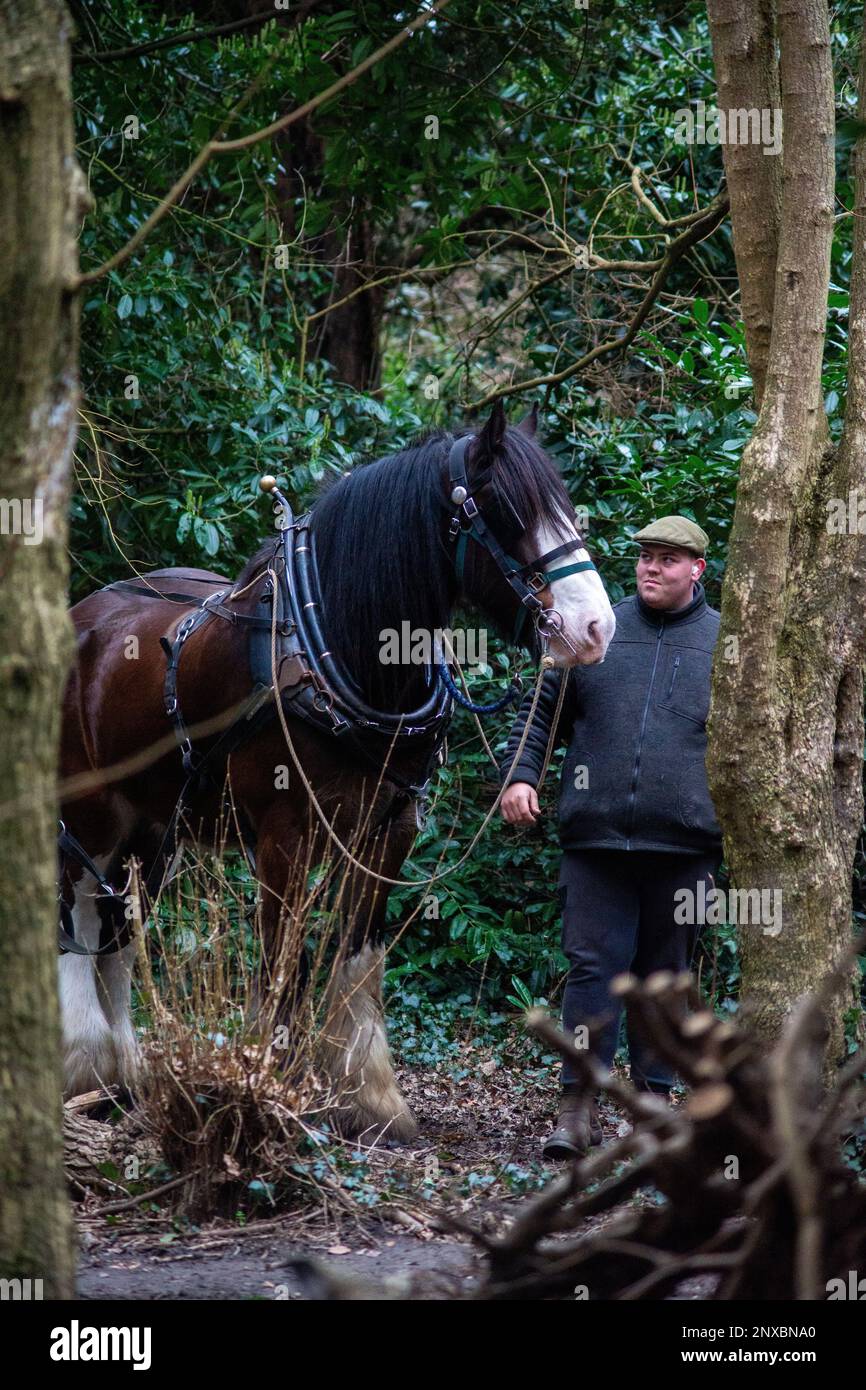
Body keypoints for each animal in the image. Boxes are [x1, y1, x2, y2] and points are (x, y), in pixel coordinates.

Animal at [58, 401, 616, 1140]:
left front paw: (368, 1097)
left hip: (153, 830)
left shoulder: (390, 827)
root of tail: (84, 616)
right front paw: (266, 1089)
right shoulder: (282, 833)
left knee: (120, 930)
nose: (597, 628)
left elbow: (357, 952)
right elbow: (282, 961)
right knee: (78, 915)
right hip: (89, 811)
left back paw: (126, 1078)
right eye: (506, 512)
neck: (340, 653)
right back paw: (87, 1067)